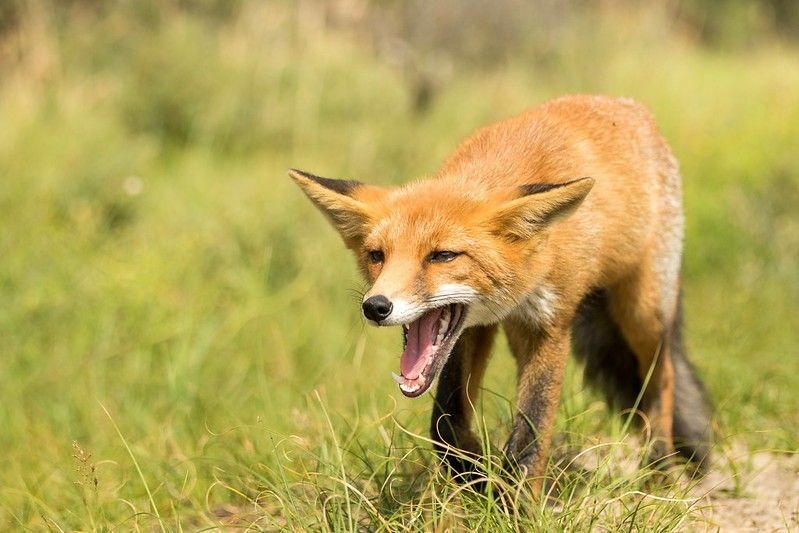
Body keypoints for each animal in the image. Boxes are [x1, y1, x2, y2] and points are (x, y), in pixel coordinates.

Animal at [290, 94, 716, 486]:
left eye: (442, 255)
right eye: (377, 255)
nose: (375, 306)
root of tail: (630, 106)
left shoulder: (550, 324)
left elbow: (533, 425)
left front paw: (516, 502)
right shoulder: (473, 327)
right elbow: (447, 420)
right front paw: (475, 475)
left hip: (642, 312)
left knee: (662, 378)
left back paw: (659, 469)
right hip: (518, 332)